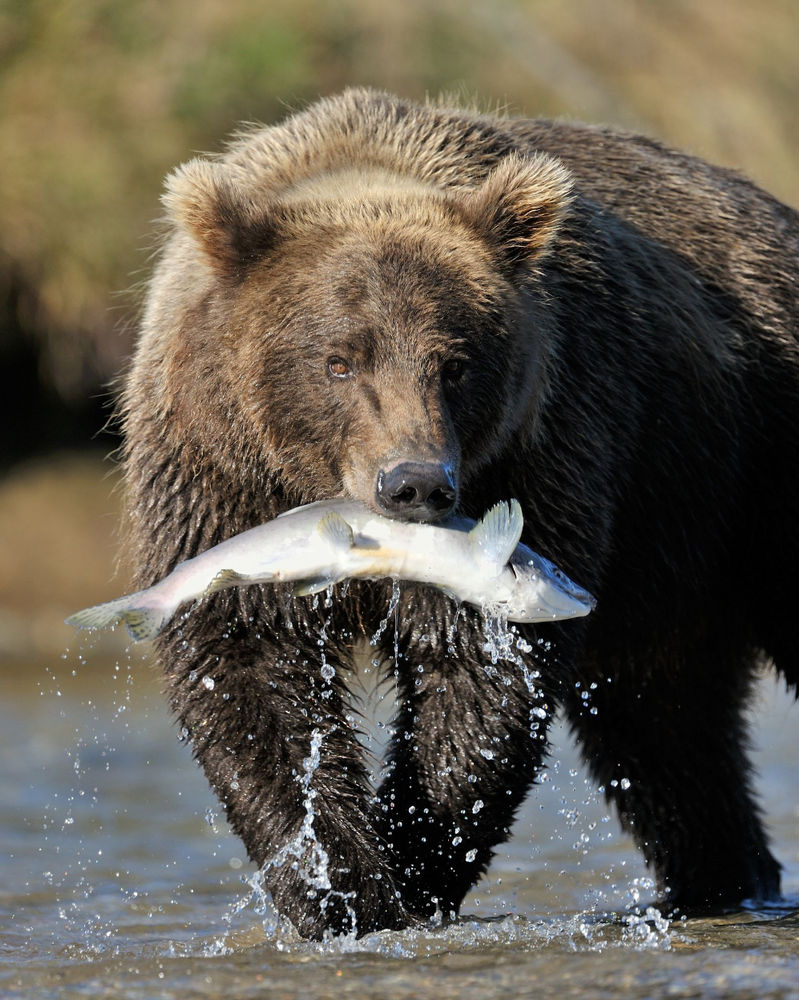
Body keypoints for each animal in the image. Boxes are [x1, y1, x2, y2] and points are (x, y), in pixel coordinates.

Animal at [121, 88, 799, 939]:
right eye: (337, 360)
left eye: (454, 363)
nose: (415, 484)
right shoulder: (219, 483)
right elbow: (248, 668)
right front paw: (341, 887)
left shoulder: (541, 452)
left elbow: (476, 672)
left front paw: (411, 866)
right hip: (678, 546)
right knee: (668, 727)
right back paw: (722, 880)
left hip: (739, 465)